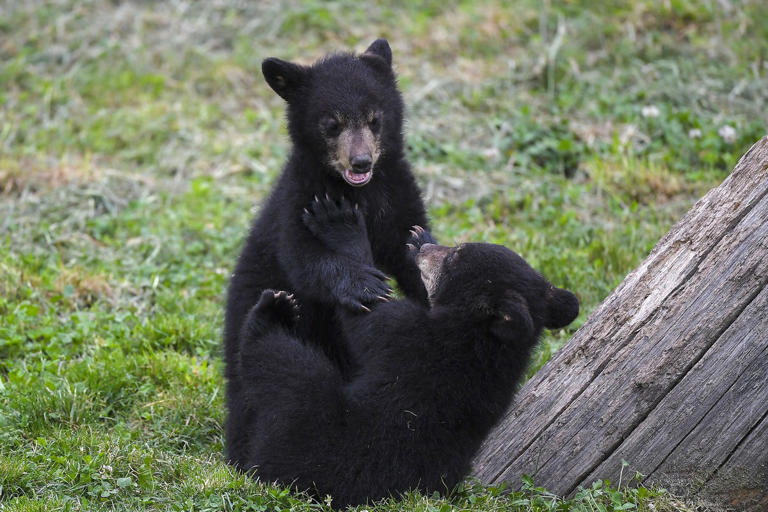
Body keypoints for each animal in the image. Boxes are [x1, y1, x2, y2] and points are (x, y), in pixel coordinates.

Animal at [224, 39, 435, 468]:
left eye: (374, 119)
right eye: (331, 124)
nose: (361, 162)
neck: (360, 192)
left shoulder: (397, 194)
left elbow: (411, 245)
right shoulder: (299, 198)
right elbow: (303, 256)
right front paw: (363, 284)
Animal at [231, 196, 580, 508]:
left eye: (456, 255)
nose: (427, 249)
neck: (479, 338)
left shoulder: (411, 336)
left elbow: (370, 320)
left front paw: (340, 224)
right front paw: (416, 236)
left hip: (310, 422)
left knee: (281, 362)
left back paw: (273, 311)